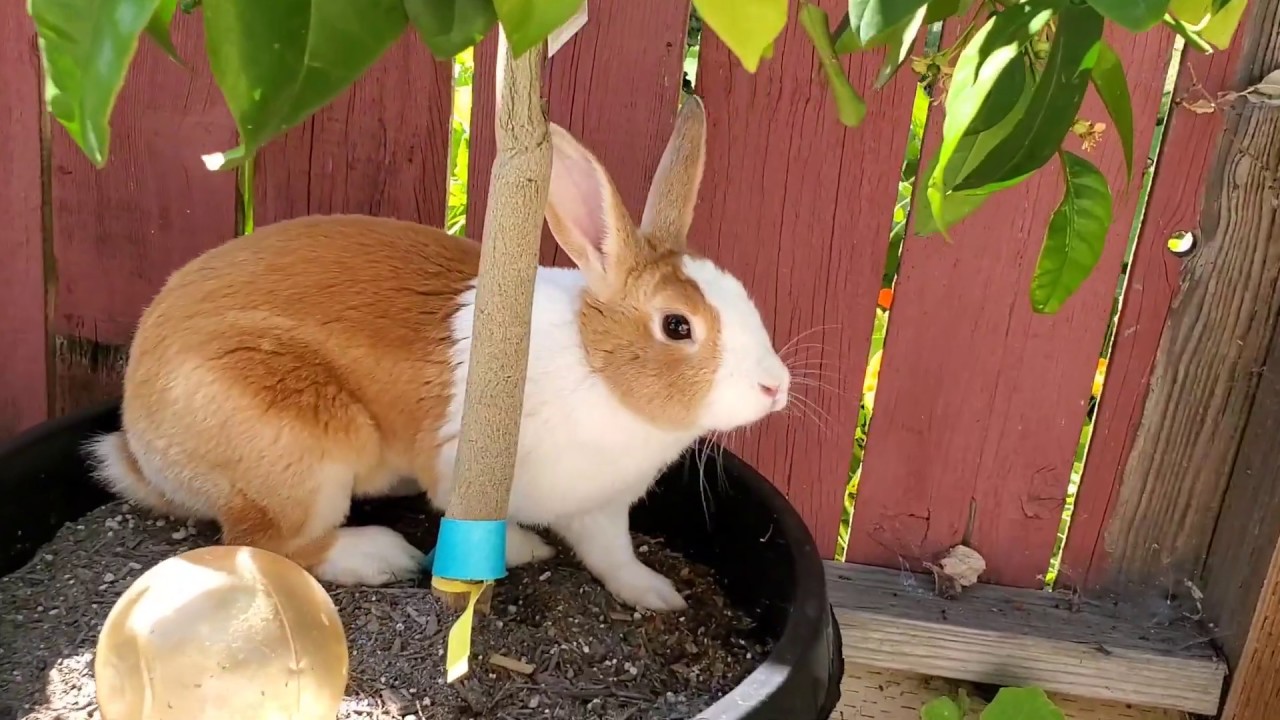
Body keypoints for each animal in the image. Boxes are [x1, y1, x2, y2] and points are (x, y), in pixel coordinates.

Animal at [86, 96, 791, 612]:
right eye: (677, 326)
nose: (776, 387)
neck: (595, 367)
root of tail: (143, 442)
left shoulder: (601, 510)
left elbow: (613, 555)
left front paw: (658, 597)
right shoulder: (468, 480)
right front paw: (524, 553)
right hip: (302, 454)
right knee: (269, 545)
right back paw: (380, 555)